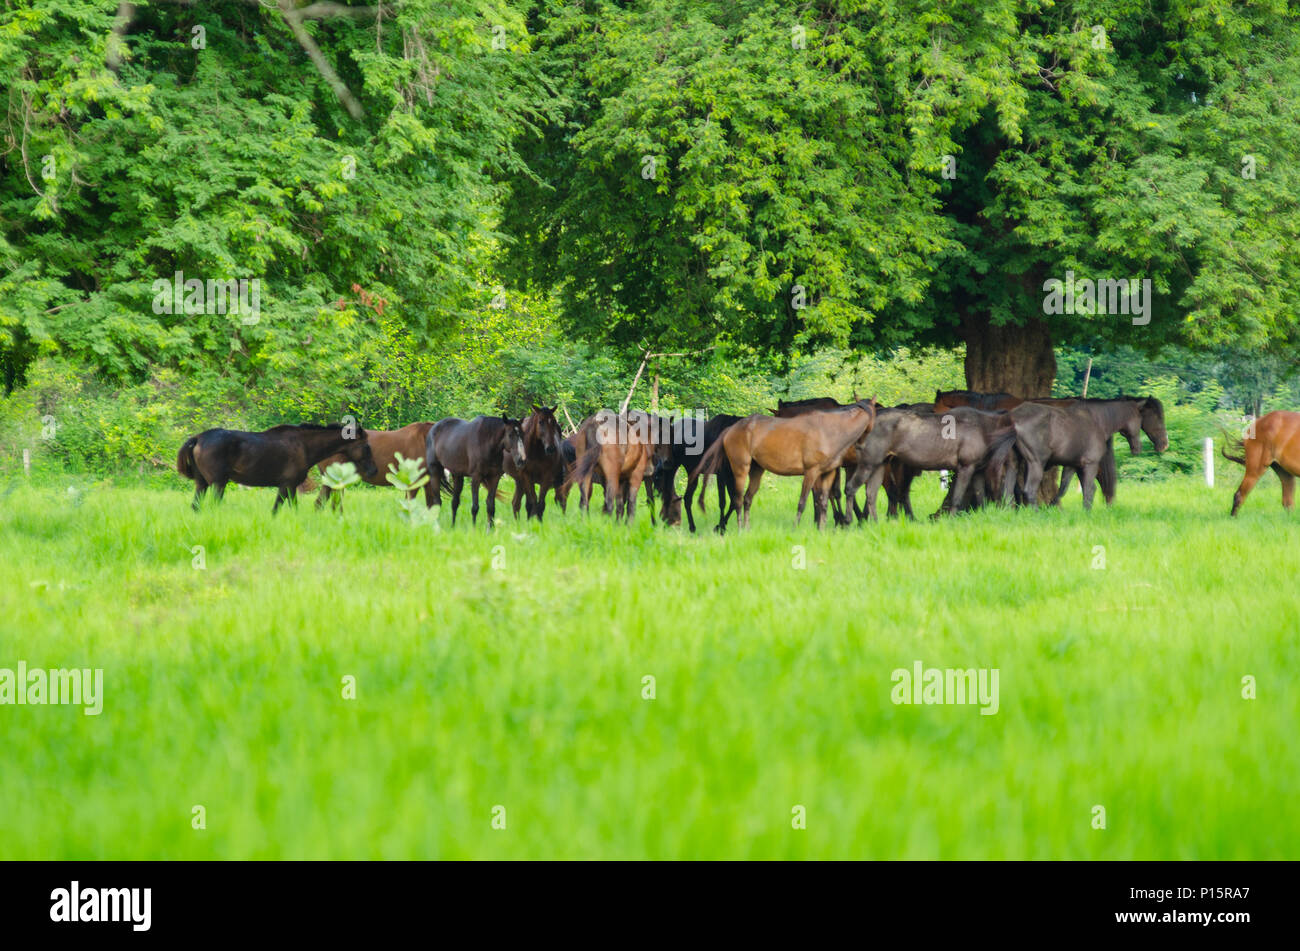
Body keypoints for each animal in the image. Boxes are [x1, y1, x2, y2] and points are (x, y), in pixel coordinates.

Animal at [177, 422, 376, 514]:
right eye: (366, 446)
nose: (373, 470)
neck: (304, 446)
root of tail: (198, 438)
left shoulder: (288, 487)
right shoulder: (287, 485)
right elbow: (282, 509)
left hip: (202, 483)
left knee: (195, 506)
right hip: (218, 483)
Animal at [686, 398, 878, 531]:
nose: (866, 446)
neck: (832, 429)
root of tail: (731, 429)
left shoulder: (828, 472)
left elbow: (824, 500)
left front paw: (824, 528)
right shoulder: (812, 472)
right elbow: (805, 501)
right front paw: (797, 528)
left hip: (756, 471)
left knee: (747, 499)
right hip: (740, 470)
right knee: (738, 500)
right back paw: (740, 529)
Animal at [845, 407, 1018, 520]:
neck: (983, 429)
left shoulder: (977, 471)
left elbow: (981, 498)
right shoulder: (965, 467)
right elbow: (957, 498)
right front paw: (951, 520)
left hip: (880, 464)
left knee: (871, 494)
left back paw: (874, 523)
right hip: (868, 463)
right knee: (850, 489)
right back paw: (849, 522)